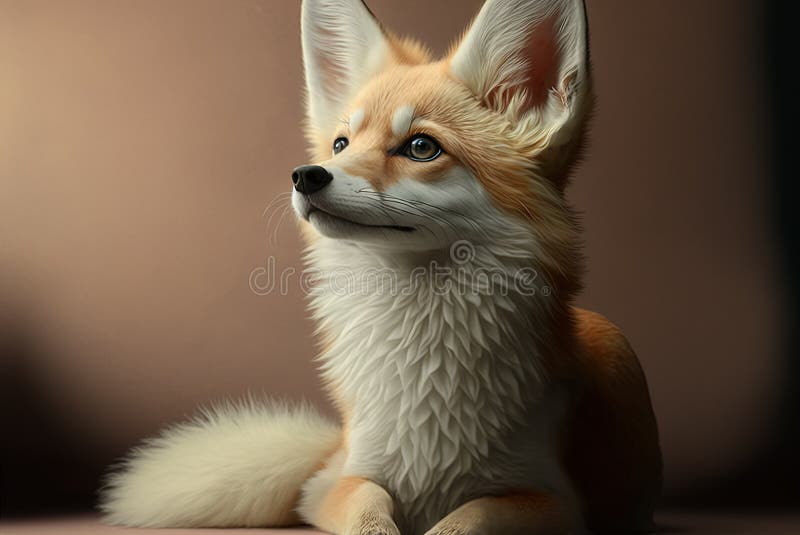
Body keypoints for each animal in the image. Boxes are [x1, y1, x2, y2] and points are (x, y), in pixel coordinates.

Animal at [99, 0, 662, 533]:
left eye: (421, 146)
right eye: (341, 144)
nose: (305, 175)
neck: (423, 365)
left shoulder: (557, 503)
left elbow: (467, 515)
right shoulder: (334, 482)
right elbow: (371, 507)